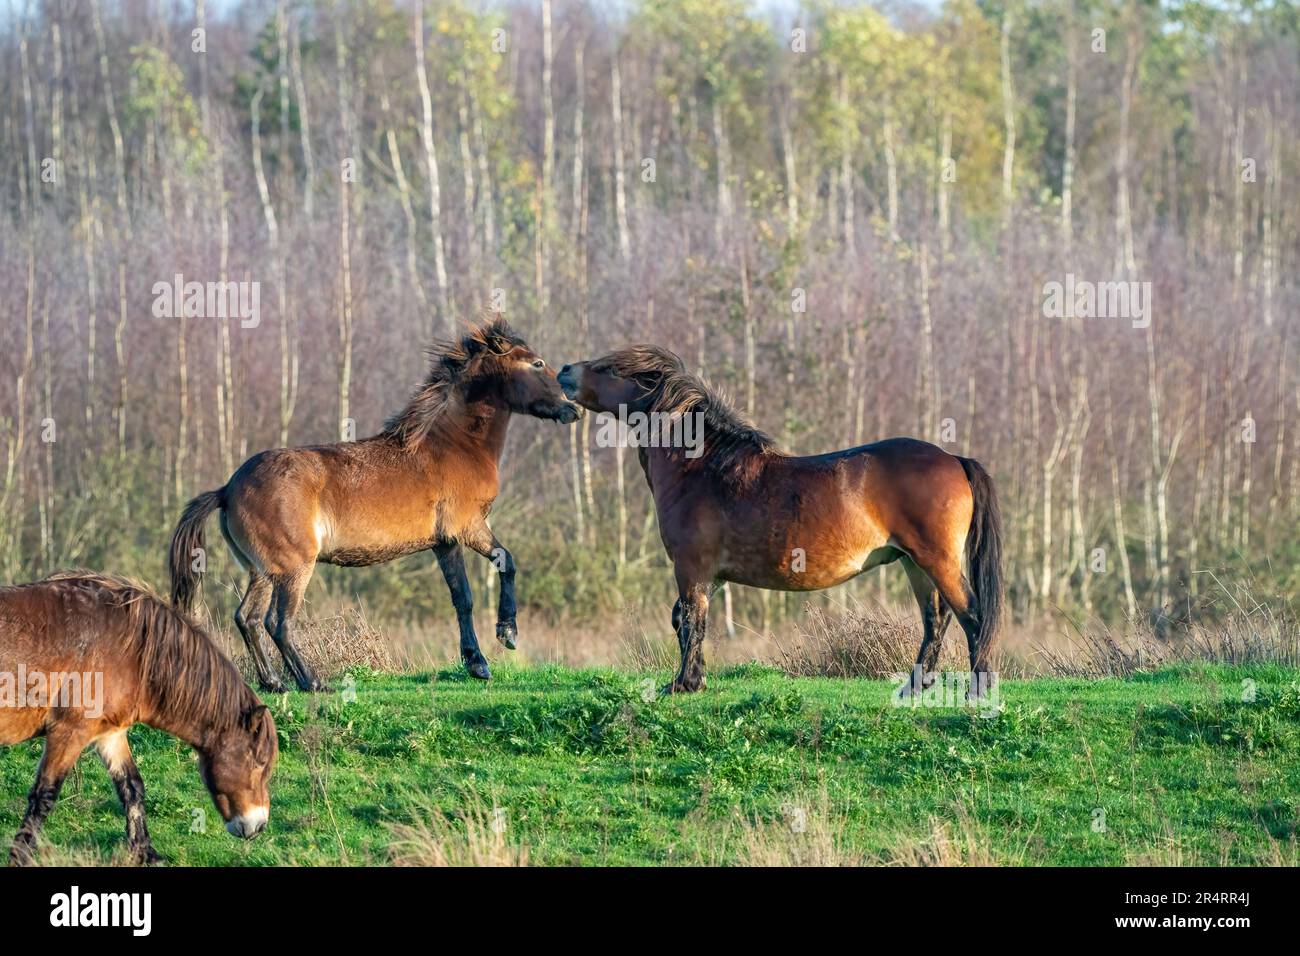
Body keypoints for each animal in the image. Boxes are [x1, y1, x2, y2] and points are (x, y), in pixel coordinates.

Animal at [0, 572, 277, 865]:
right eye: (259, 762)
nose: (258, 826)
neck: (129, 648)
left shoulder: (110, 735)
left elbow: (132, 788)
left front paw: (145, 851)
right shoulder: (68, 733)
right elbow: (44, 796)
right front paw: (19, 856)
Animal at [169, 317, 582, 692]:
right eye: (537, 363)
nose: (572, 408)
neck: (453, 446)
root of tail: (227, 488)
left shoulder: (445, 542)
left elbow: (462, 599)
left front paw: (477, 664)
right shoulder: (469, 527)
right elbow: (506, 561)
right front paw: (507, 634)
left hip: (262, 570)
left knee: (248, 619)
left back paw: (274, 683)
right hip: (293, 568)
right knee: (277, 622)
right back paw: (311, 682)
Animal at [558, 346, 1004, 696]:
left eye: (612, 369)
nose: (563, 371)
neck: (704, 467)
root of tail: (954, 459)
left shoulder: (691, 568)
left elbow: (690, 622)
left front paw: (683, 684)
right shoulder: (712, 576)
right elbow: (686, 620)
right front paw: (696, 680)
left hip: (936, 560)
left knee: (973, 616)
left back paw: (977, 692)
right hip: (914, 563)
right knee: (936, 620)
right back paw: (914, 687)